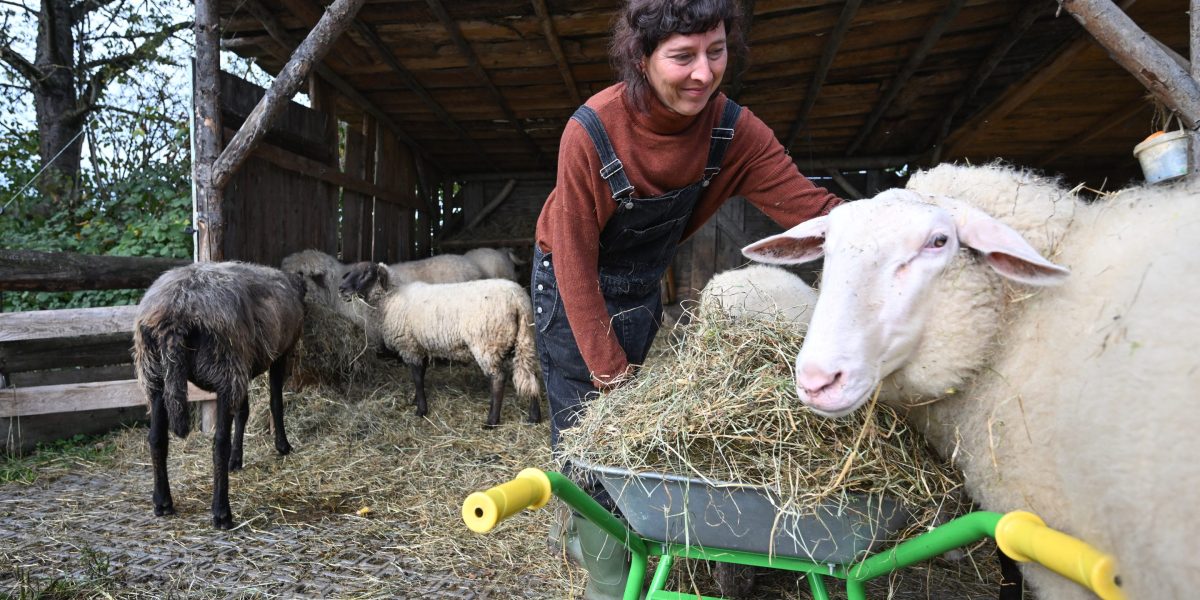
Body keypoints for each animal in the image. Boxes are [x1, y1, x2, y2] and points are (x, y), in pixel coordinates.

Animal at [132, 261, 306, 529]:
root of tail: (176, 311)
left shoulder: (243, 368)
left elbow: (244, 412)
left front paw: (238, 459)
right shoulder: (277, 355)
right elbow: (275, 402)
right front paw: (282, 446)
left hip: (154, 372)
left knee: (156, 438)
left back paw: (162, 502)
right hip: (224, 366)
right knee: (218, 444)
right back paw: (222, 512)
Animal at [338, 261, 542, 427]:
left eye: (366, 274)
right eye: (350, 272)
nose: (341, 289)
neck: (391, 298)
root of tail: (518, 299)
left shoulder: (409, 345)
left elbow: (417, 377)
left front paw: (421, 410)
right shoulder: (420, 344)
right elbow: (421, 375)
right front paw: (416, 400)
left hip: (487, 342)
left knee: (498, 378)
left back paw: (491, 421)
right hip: (524, 338)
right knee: (529, 375)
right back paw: (534, 417)